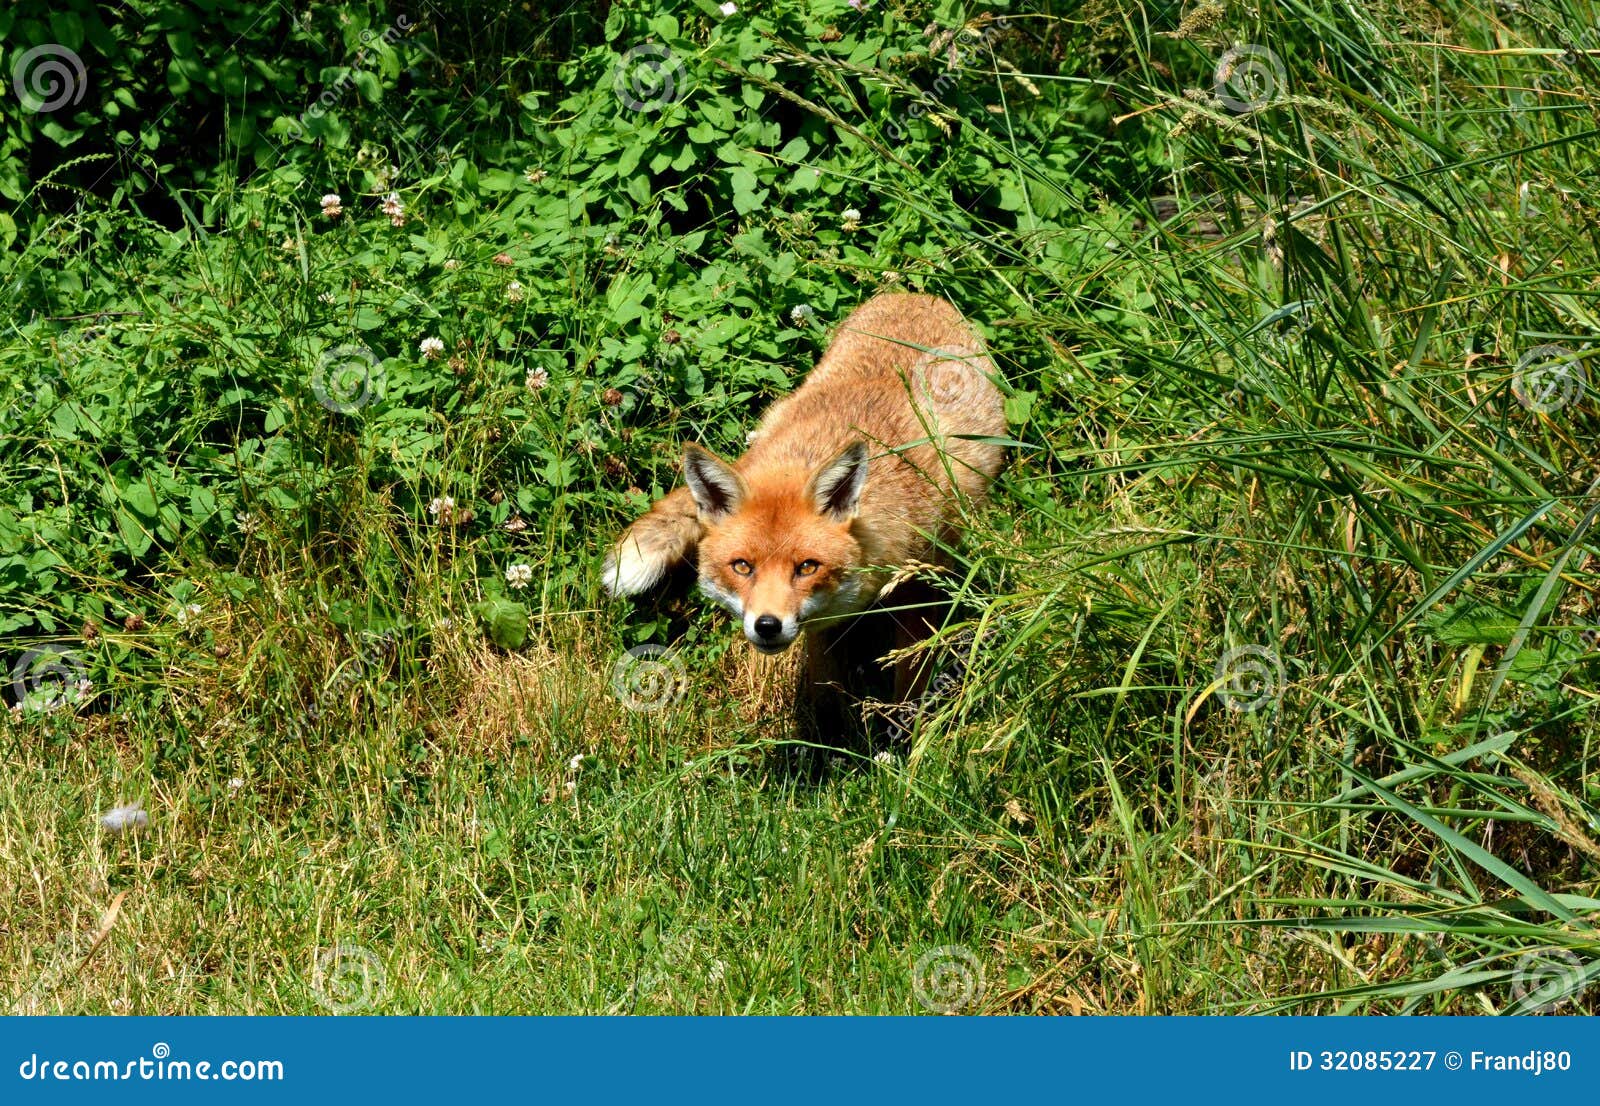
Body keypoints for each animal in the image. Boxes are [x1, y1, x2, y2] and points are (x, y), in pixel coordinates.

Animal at [602, 292, 1005, 709]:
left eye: (807, 567)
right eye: (742, 566)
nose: (767, 625)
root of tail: (913, 294)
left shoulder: (923, 584)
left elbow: (911, 680)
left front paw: (907, 720)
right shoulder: (821, 625)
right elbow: (825, 688)